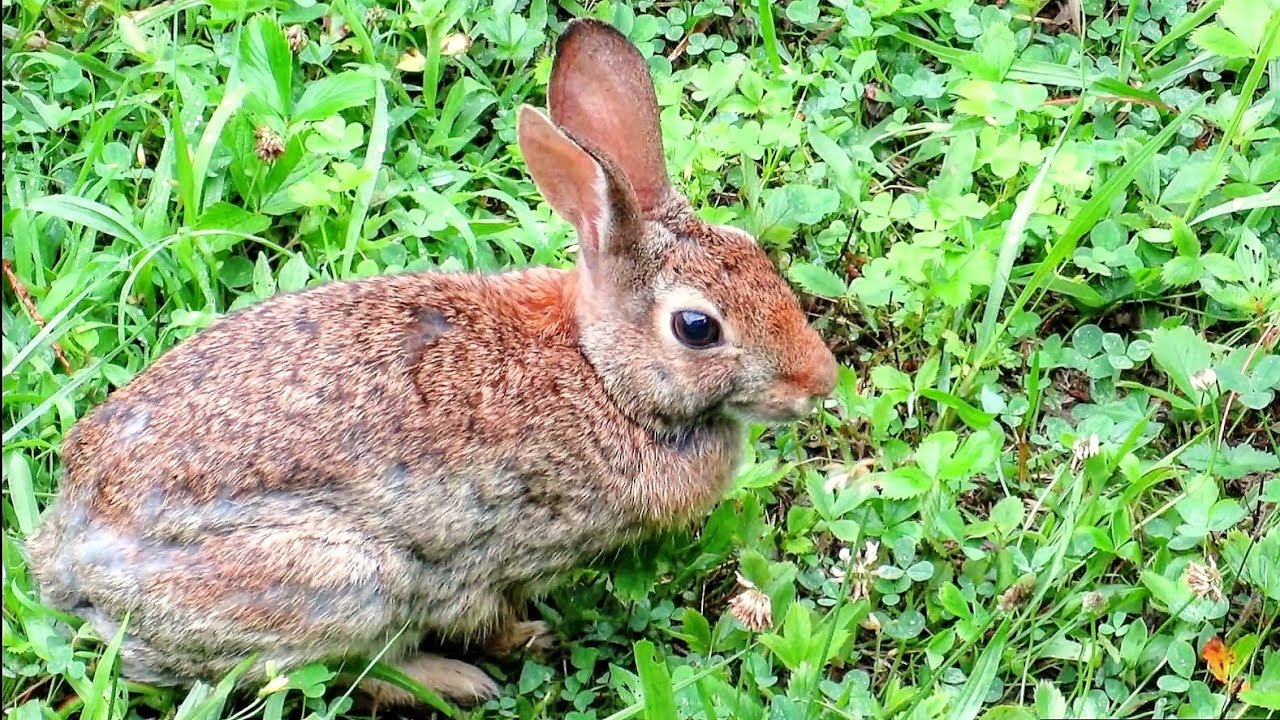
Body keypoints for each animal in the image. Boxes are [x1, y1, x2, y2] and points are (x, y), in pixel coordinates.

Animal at [22, 17, 838, 707]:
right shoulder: (494, 553)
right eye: (697, 328)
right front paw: (529, 638)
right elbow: (489, 611)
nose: (819, 382)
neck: (601, 375)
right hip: (348, 581)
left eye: (753, 248)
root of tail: (66, 557)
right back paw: (455, 680)